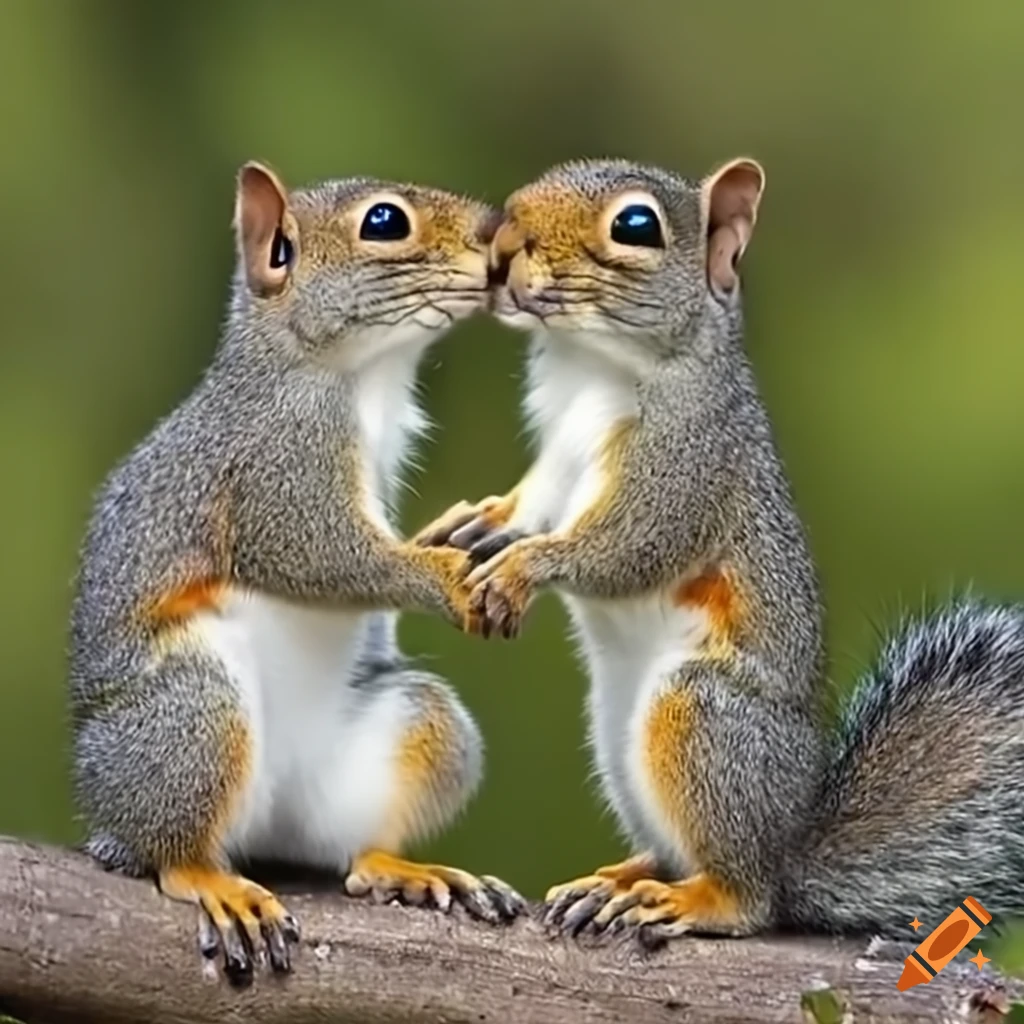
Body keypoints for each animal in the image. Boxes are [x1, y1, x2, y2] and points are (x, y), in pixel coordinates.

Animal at [69, 161, 522, 984]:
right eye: (384, 222)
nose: (495, 232)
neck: (355, 372)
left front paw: (457, 532)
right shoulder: (276, 460)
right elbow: (316, 554)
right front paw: (441, 573)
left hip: (411, 731)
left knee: (350, 850)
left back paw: (402, 869)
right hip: (188, 717)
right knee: (170, 852)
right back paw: (209, 880)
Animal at [417, 157, 1024, 943]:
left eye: (635, 225)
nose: (504, 241)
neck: (592, 366)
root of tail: (788, 850)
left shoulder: (691, 458)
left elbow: (628, 545)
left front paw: (527, 566)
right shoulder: (557, 456)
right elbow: (533, 505)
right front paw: (472, 525)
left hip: (701, 720)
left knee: (744, 898)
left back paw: (686, 899)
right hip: (616, 741)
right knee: (673, 850)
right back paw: (618, 879)